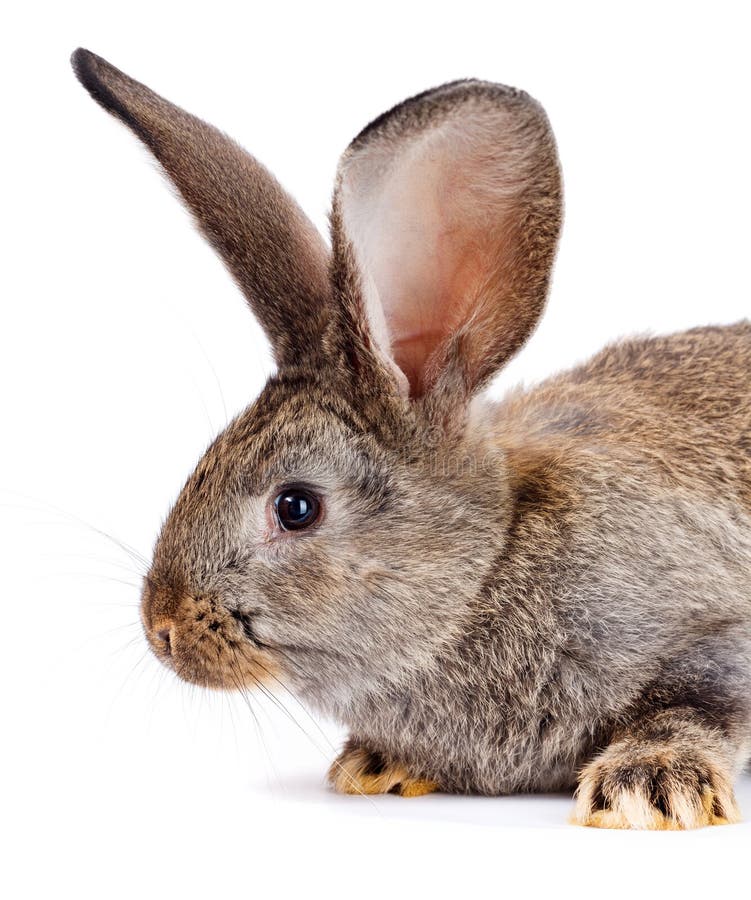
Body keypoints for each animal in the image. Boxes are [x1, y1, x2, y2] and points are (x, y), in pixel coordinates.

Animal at [72, 47, 751, 830]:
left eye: (295, 506)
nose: (163, 629)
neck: (484, 572)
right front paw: (378, 766)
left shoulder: (707, 630)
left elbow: (695, 704)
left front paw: (647, 788)